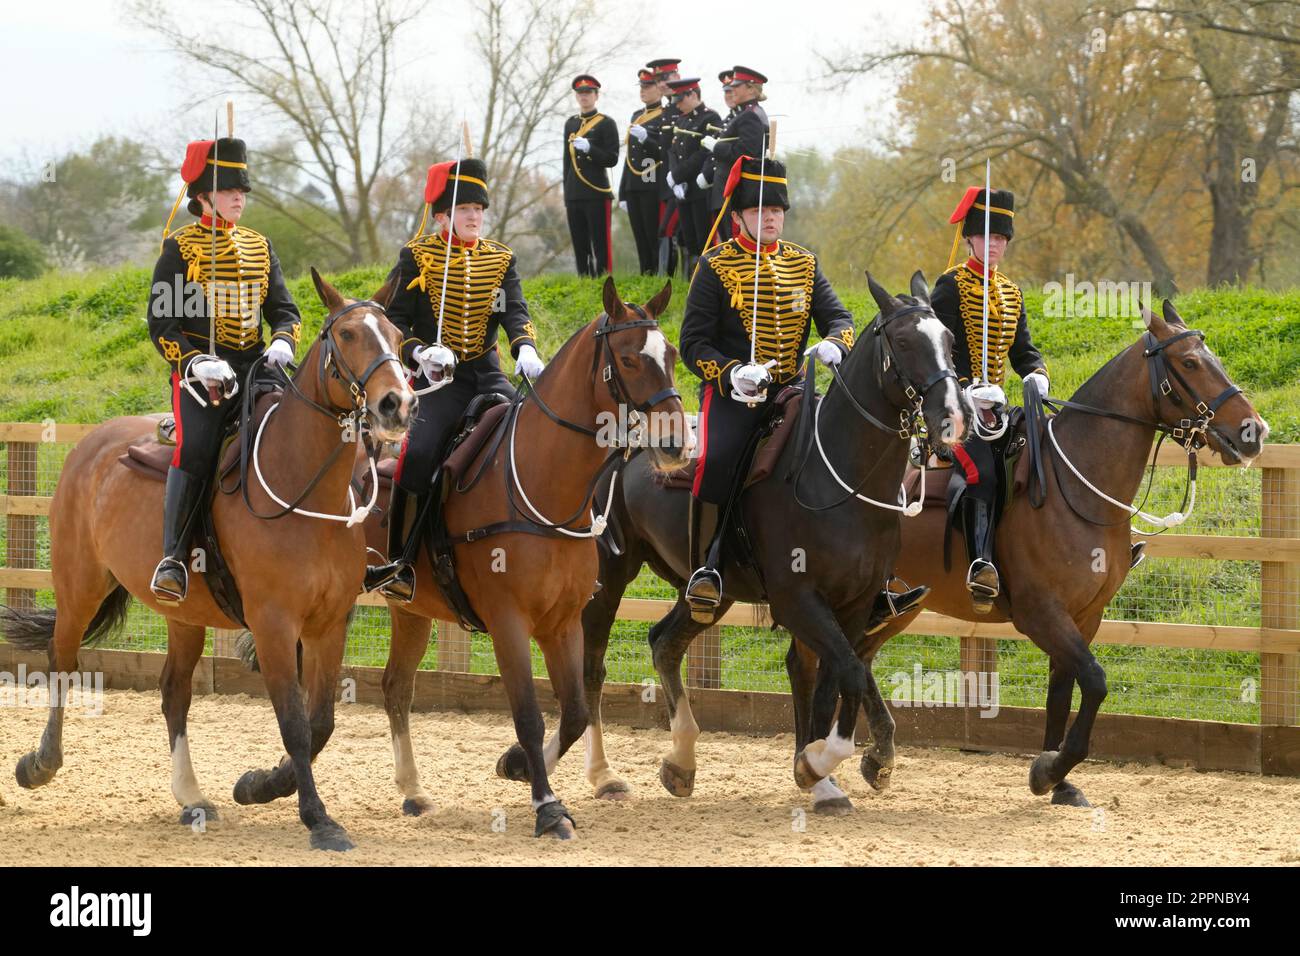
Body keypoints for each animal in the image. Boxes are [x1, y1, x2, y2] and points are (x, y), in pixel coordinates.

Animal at [0, 270, 414, 851]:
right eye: (349, 334)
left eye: (398, 337)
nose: (397, 404)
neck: (302, 488)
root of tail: (92, 444)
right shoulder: (272, 624)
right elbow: (294, 722)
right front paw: (317, 818)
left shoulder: (330, 623)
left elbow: (321, 722)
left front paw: (262, 785)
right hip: (78, 586)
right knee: (62, 663)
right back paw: (40, 763)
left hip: (183, 616)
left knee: (173, 693)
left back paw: (191, 796)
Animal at [365, 276, 689, 839]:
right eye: (629, 359)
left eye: (669, 354)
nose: (674, 444)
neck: (542, 484)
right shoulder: (508, 623)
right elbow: (530, 715)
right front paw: (547, 807)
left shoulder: (563, 622)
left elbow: (576, 709)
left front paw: (518, 765)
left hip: (410, 611)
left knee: (395, 688)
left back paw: (413, 791)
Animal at [577, 272, 970, 813]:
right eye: (906, 342)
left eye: (950, 341)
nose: (953, 415)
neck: (839, 477)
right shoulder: (797, 598)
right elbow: (847, 672)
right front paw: (818, 763)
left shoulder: (855, 603)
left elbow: (835, 679)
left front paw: (819, 773)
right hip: (610, 575)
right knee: (593, 663)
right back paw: (602, 774)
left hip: (711, 594)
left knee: (664, 643)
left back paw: (681, 762)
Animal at [785, 299, 1269, 808]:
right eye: (1190, 363)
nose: (1254, 431)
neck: (1073, 485)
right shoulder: (1041, 614)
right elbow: (1095, 681)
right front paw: (1051, 768)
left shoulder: (1084, 616)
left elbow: (1063, 689)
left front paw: (1058, 779)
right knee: (810, 662)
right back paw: (815, 767)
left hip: (895, 603)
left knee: (857, 658)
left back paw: (877, 756)